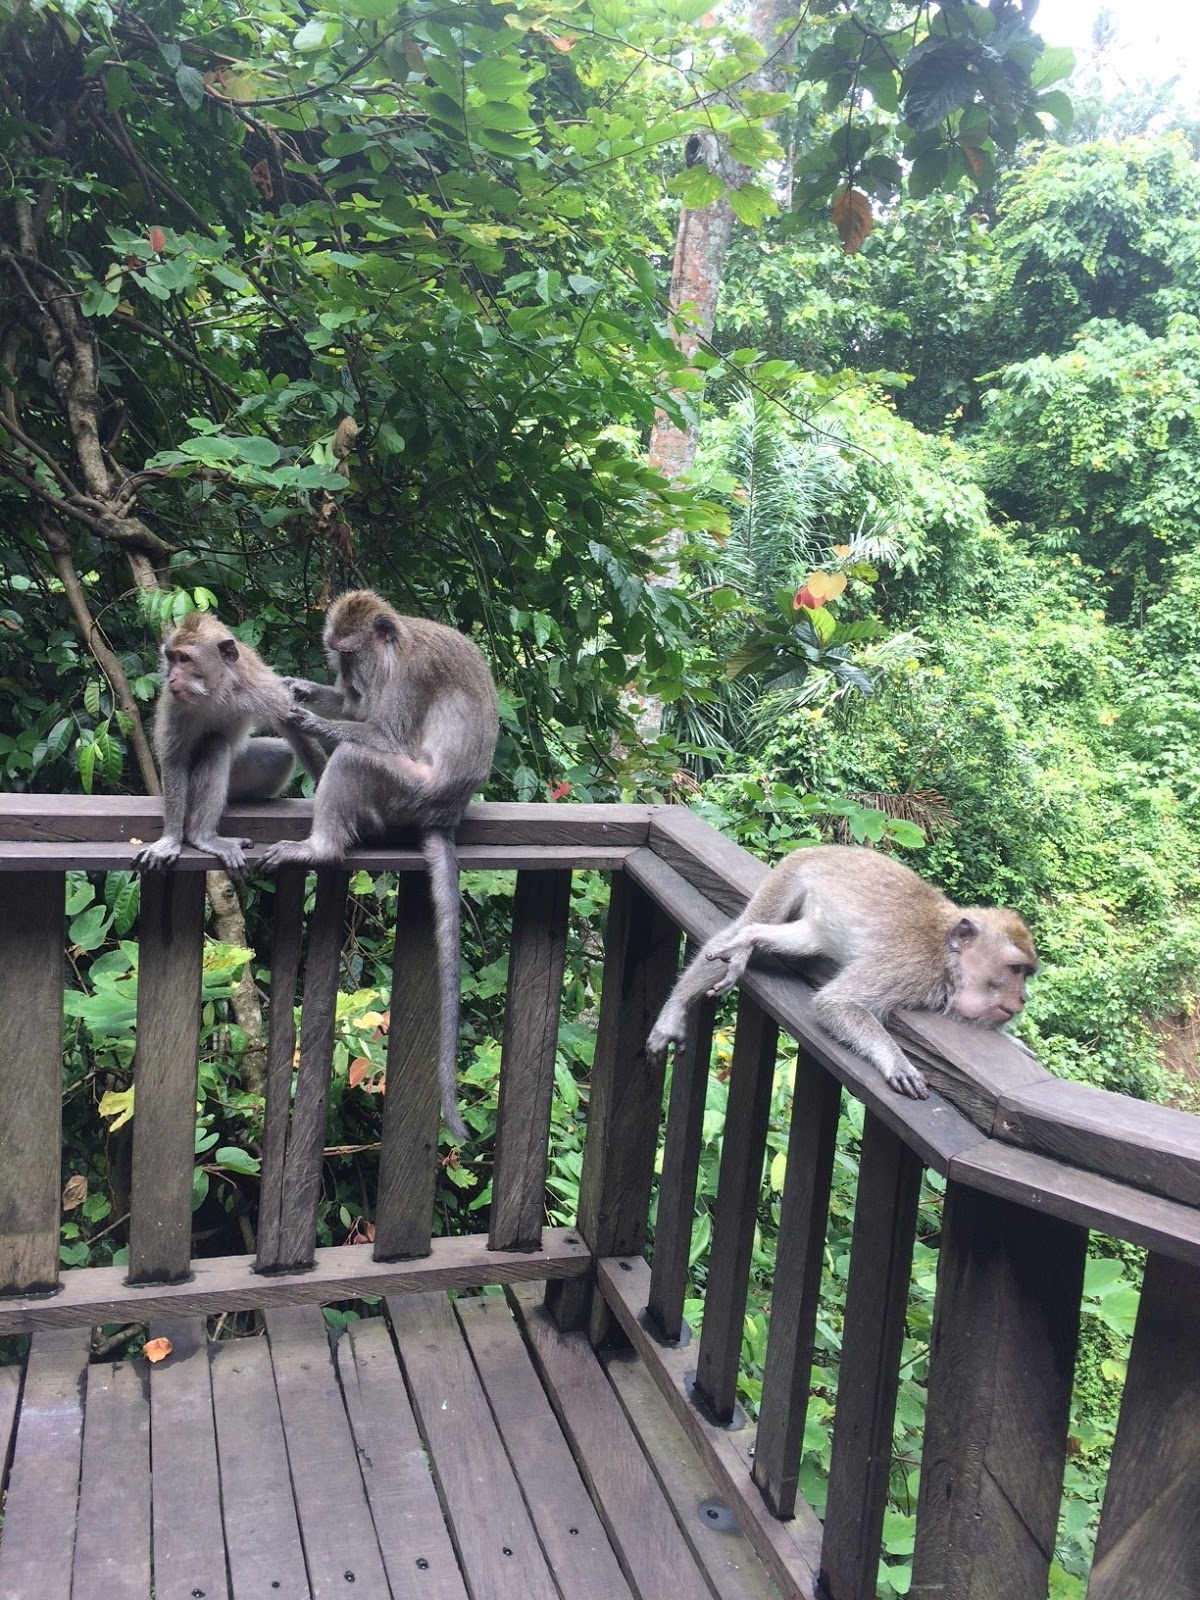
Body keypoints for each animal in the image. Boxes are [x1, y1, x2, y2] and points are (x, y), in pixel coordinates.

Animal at [133, 611, 329, 876]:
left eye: (185, 658)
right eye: (172, 658)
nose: (172, 678)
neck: (215, 690)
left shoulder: (259, 686)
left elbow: (293, 726)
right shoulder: (175, 705)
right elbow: (175, 759)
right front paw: (170, 840)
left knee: (281, 752)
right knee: (215, 744)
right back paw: (203, 837)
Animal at [260, 590, 500, 1141]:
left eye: (351, 655)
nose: (348, 679)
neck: (394, 651)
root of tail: (443, 815)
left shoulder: (408, 678)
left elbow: (382, 732)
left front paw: (309, 719)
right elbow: (354, 710)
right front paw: (300, 689)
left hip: (407, 793)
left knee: (355, 757)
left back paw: (320, 846)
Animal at [646, 844, 1038, 1099]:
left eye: (1027, 974)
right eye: (1015, 968)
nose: (1022, 997)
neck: (945, 954)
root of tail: (819, 847)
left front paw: (1014, 1044)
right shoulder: (909, 966)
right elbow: (835, 1003)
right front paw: (896, 1061)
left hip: (811, 920)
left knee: (797, 939)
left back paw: (751, 939)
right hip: (789, 876)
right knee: (744, 924)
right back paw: (683, 999)